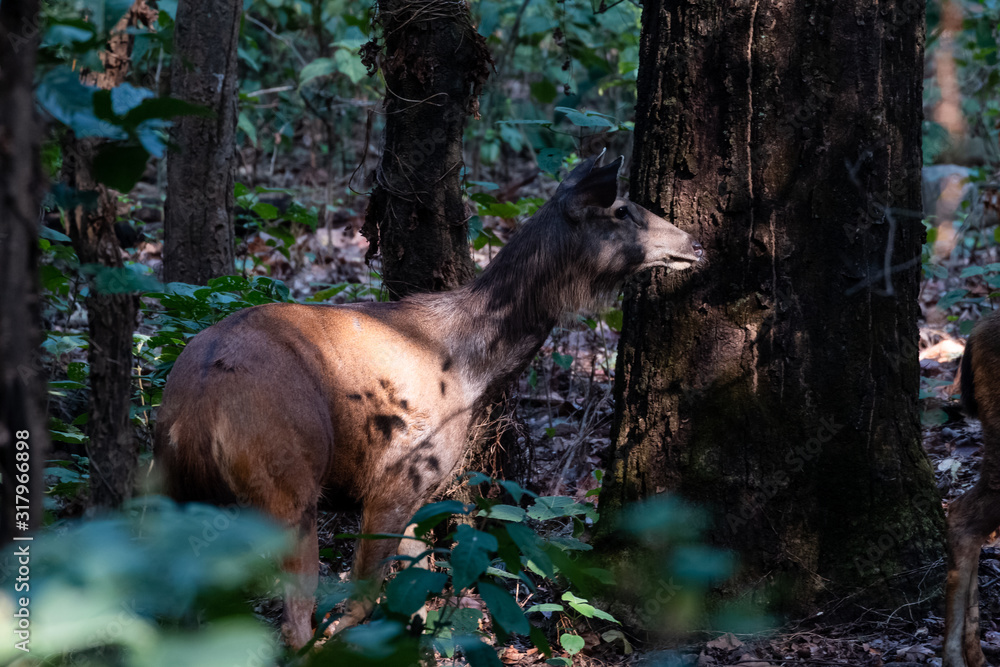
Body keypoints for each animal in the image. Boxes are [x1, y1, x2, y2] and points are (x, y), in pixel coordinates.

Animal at [153, 154, 704, 648]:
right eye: (622, 211)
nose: (696, 243)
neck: (473, 366)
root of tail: (197, 408)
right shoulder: (398, 475)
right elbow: (364, 600)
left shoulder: (421, 493)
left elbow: (415, 593)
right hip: (285, 485)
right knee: (292, 620)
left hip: (172, 490)